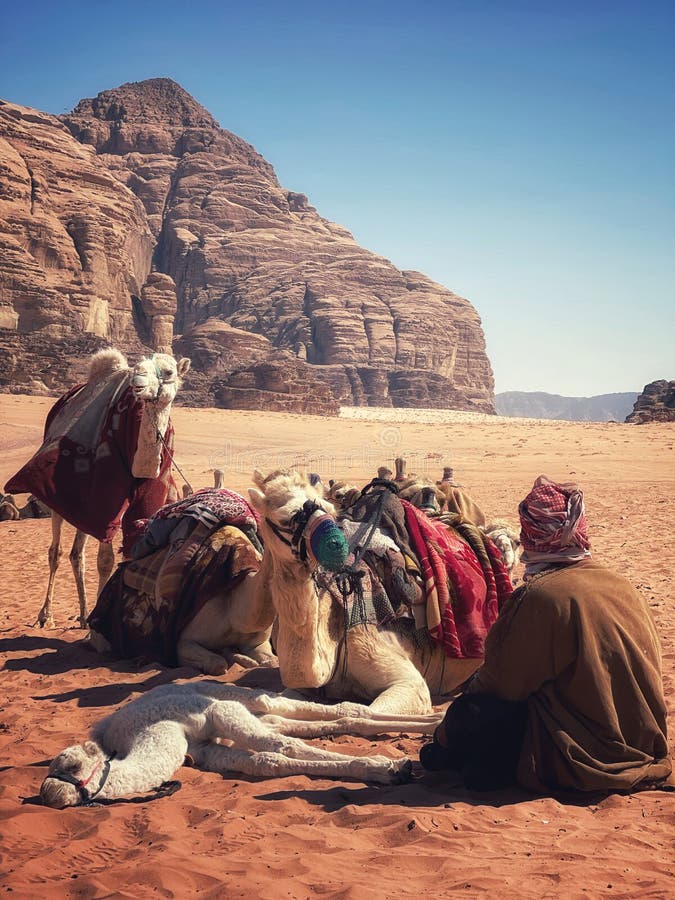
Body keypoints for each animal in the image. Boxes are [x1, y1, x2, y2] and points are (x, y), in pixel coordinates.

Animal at [5, 348, 190, 628]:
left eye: (168, 372)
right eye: (138, 367)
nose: (138, 383)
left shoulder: (149, 497)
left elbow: (132, 555)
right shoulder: (107, 498)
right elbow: (105, 561)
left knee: (75, 553)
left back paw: (82, 615)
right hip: (58, 496)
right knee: (56, 551)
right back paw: (46, 615)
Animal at [40, 680, 443, 807]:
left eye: (72, 765)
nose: (51, 793)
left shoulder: (217, 712)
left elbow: (282, 748)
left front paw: (390, 766)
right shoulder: (204, 752)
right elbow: (268, 760)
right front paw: (391, 768)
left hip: (237, 696)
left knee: (338, 708)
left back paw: (434, 724)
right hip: (255, 712)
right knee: (336, 719)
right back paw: (433, 724)